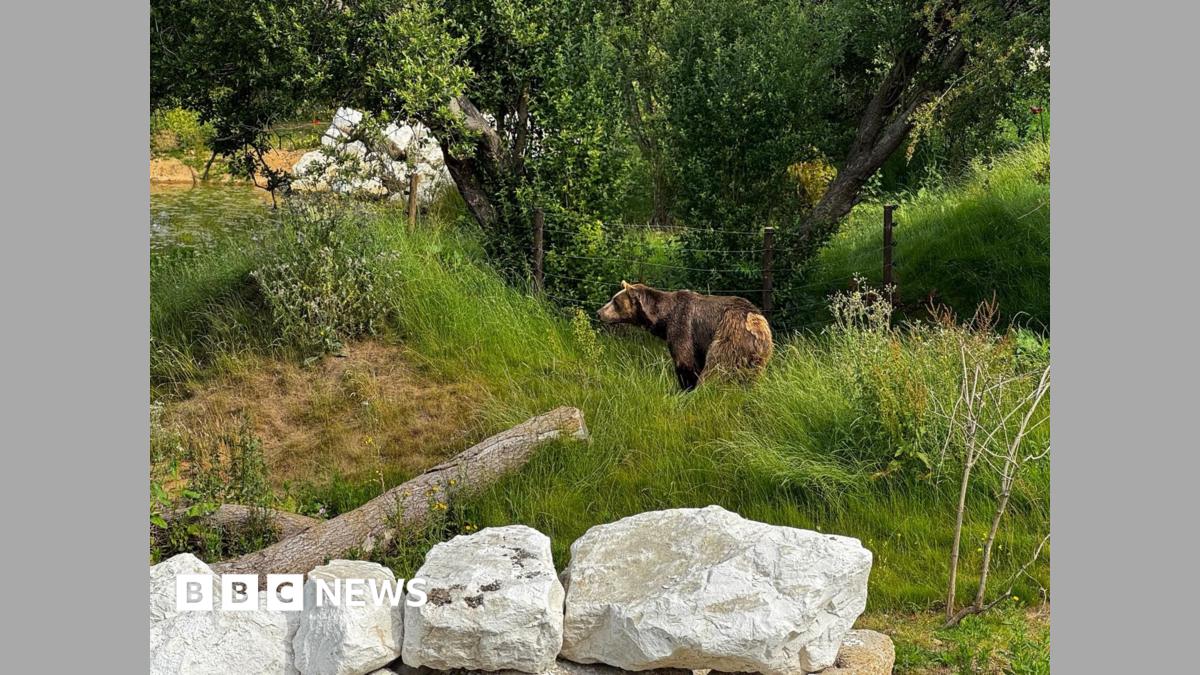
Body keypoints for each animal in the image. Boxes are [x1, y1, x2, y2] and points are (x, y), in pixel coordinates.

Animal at [596, 281, 774, 391]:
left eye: (615, 301)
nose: (599, 312)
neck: (663, 318)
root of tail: (756, 322)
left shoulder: (682, 326)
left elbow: (685, 362)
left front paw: (685, 388)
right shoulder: (698, 342)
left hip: (729, 337)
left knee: (717, 369)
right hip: (759, 356)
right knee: (751, 378)